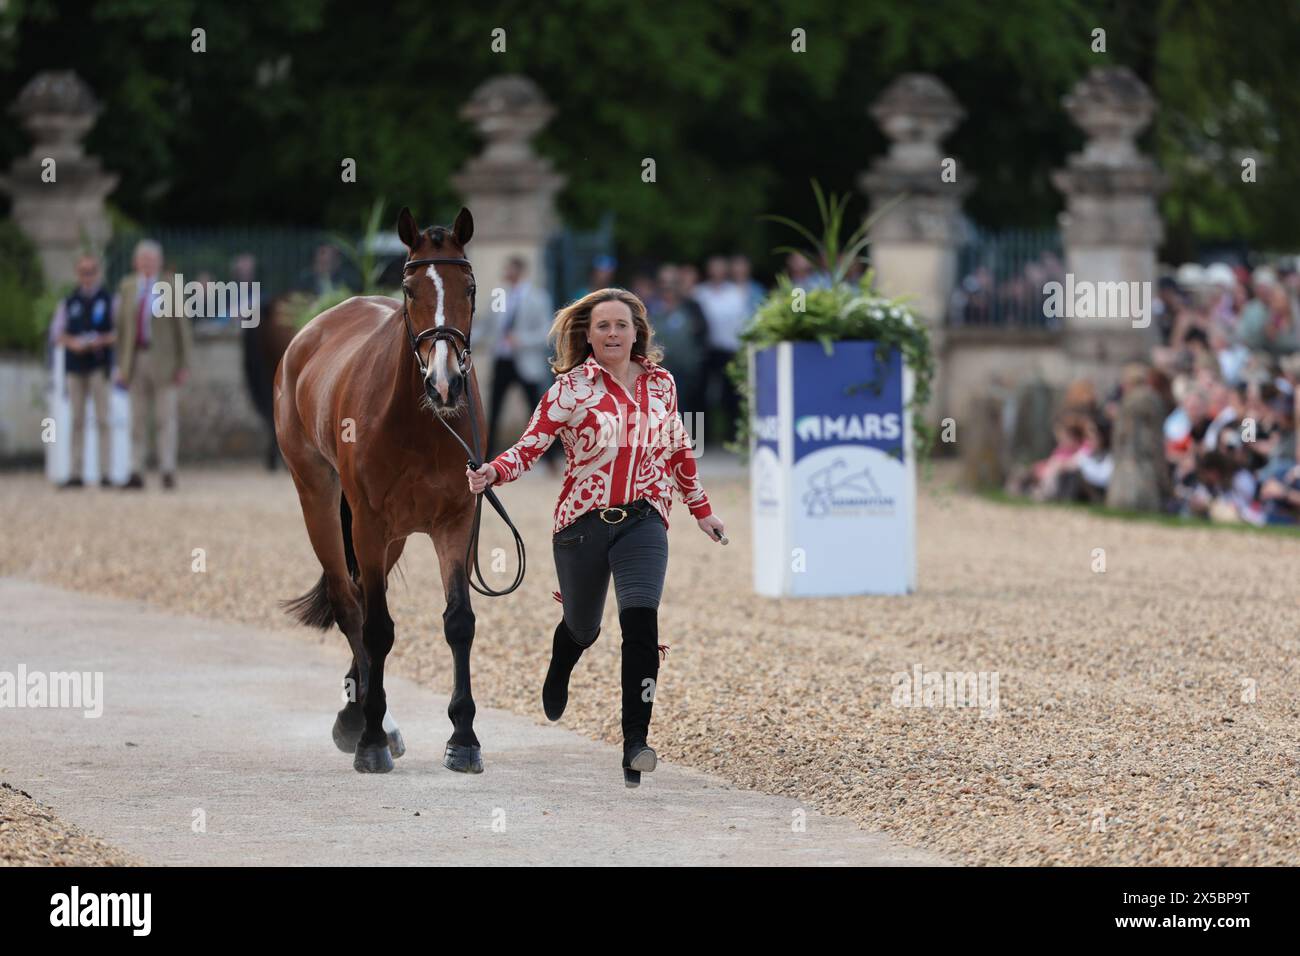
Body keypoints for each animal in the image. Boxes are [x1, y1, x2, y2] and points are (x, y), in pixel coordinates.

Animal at [274, 206, 497, 775]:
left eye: (470, 287)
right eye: (410, 288)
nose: (445, 383)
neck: (422, 421)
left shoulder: (456, 522)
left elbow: (459, 622)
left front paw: (464, 738)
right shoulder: (369, 523)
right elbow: (376, 627)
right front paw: (371, 738)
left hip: (390, 535)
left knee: (358, 596)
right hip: (321, 501)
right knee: (349, 602)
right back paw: (367, 723)